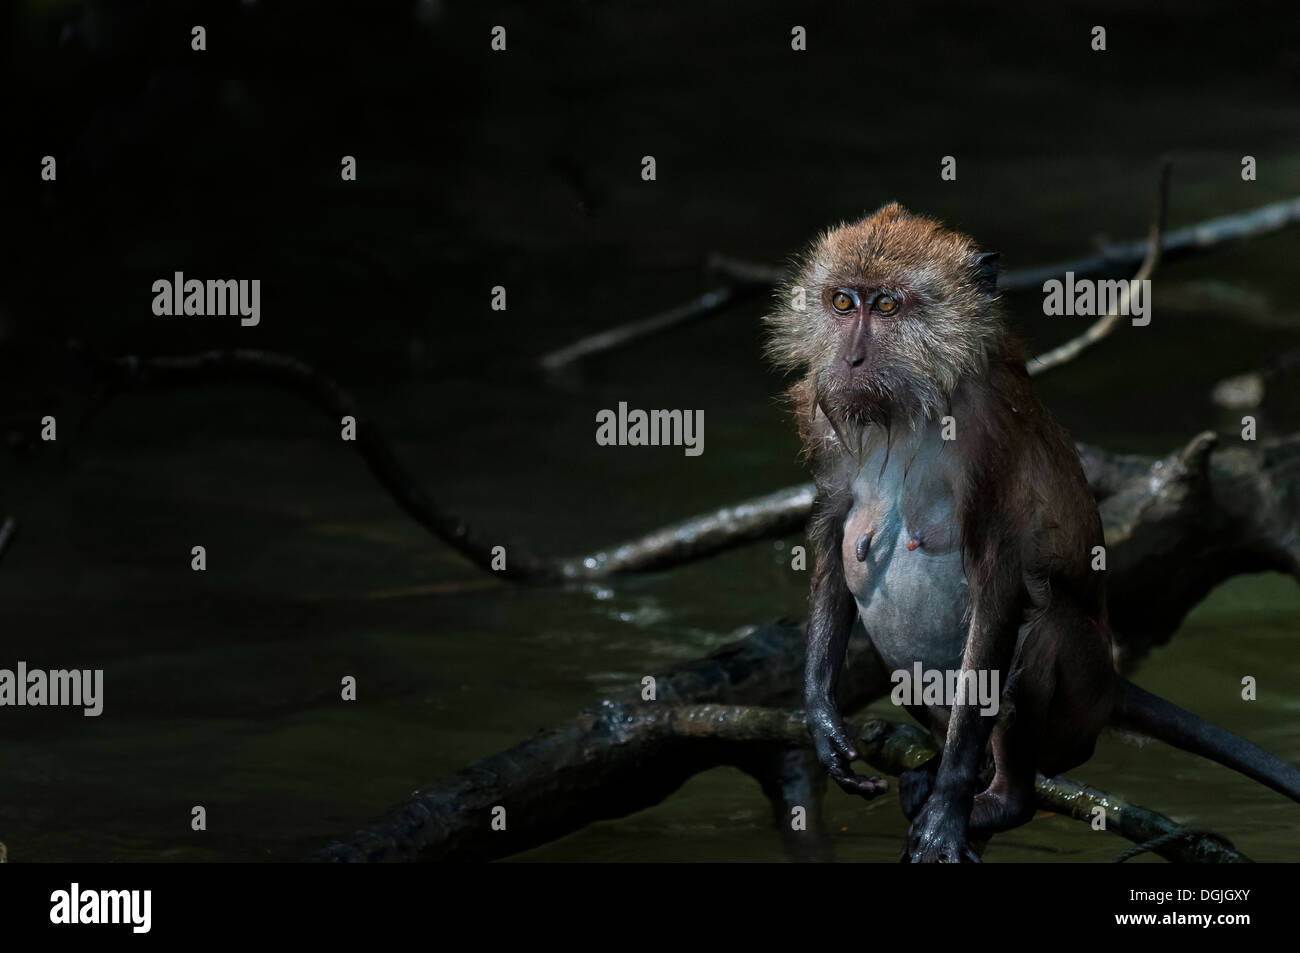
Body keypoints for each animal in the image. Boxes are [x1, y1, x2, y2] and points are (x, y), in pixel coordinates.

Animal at [764, 202, 1300, 862]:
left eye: (886, 306)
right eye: (843, 302)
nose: (851, 361)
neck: (913, 410)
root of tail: (1111, 685)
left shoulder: (992, 440)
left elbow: (998, 584)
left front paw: (946, 814)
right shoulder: (822, 414)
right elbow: (833, 537)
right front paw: (820, 715)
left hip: (1080, 699)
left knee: (1041, 636)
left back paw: (998, 797)